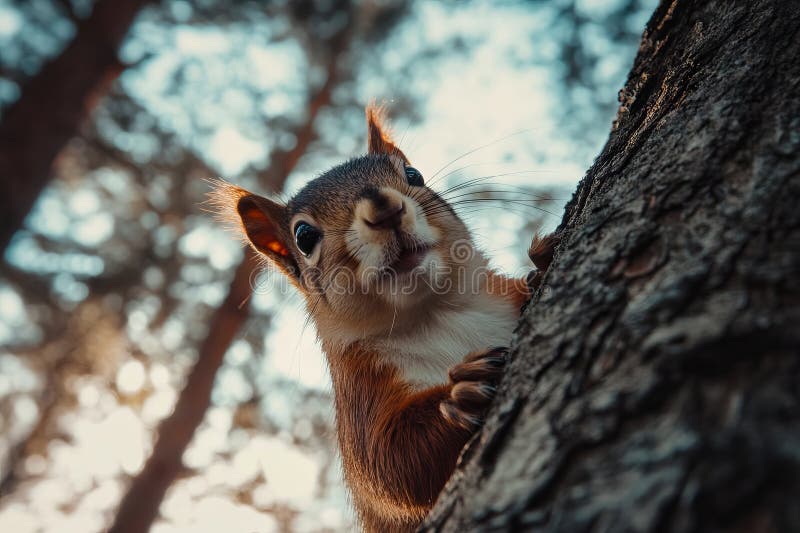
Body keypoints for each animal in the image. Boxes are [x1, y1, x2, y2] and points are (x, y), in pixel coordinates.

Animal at [213, 105, 559, 532]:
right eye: (304, 236)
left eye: (413, 175)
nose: (385, 208)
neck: (436, 312)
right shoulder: (360, 390)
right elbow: (387, 467)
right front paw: (461, 395)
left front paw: (539, 264)